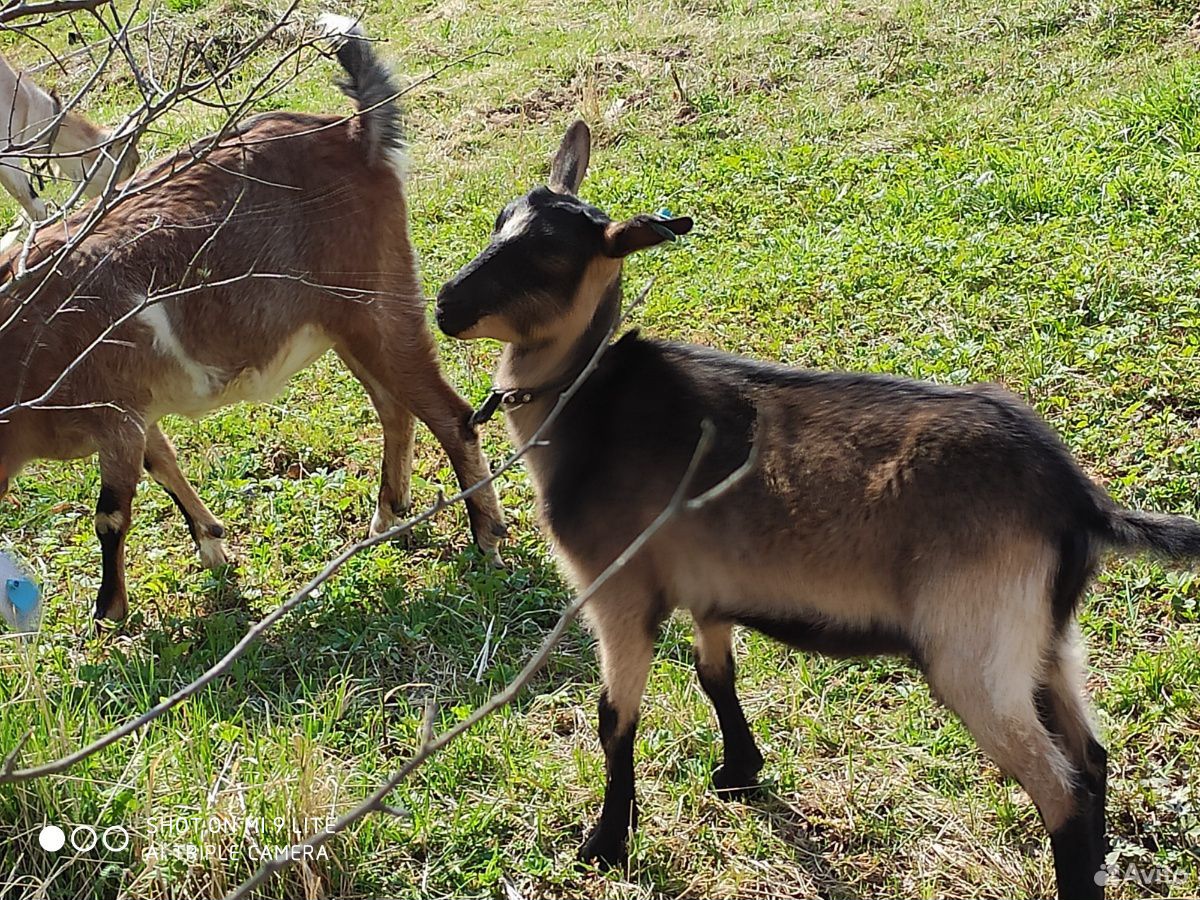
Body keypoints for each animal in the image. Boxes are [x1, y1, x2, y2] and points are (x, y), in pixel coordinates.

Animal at [435, 119, 1200, 899]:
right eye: (499, 223)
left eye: (548, 253)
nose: (445, 303)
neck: (589, 405)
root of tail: (1074, 497)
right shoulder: (708, 589)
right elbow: (715, 675)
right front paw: (739, 773)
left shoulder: (618, 591)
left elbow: (614, 720)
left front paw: (606, 844)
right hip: (1045, 638)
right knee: (1092, 758)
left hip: (976, 649)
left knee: (1061, 789)